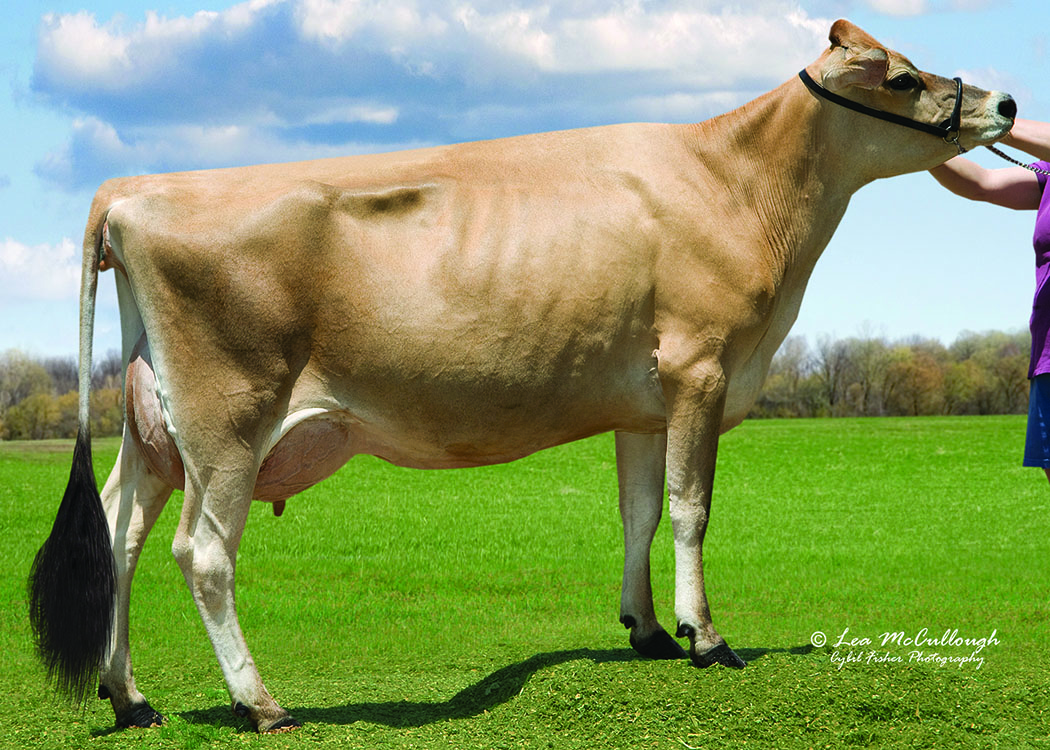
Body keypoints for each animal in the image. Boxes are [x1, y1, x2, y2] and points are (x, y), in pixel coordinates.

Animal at [29, 19, 1015, 733]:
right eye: (901, 78)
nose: (1005, 99)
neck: (733, 185)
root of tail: (134, 189)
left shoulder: (644, 402)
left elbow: (639, 511)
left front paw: (645, 630)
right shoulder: (701, 365)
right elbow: (692, 509)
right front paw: (705, 637)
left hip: (155, 426)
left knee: (117, 533)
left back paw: (131, 697)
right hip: (229, 416)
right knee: (201, 552)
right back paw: (260, 703)